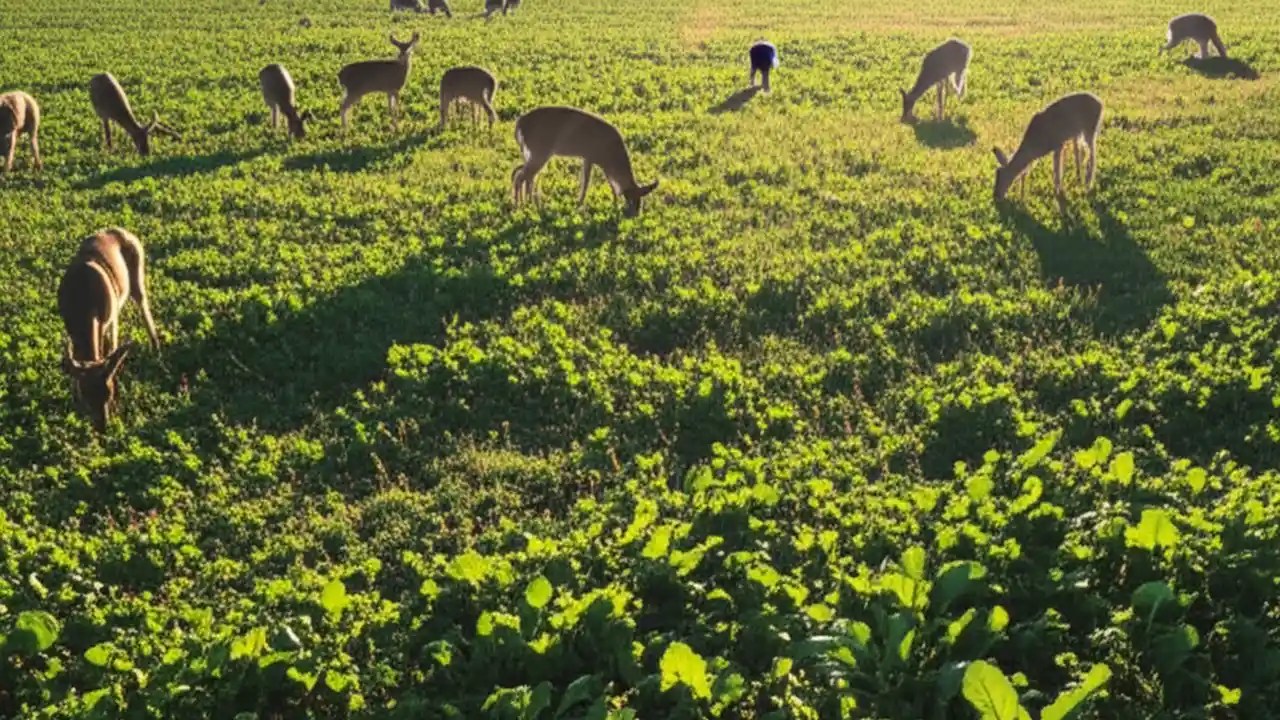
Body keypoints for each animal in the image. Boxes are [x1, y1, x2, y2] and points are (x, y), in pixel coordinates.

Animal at [57, 228, 161, 433]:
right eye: (86, 397)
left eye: (110, 393)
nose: (102, 426)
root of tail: (124, 231)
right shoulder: (68, 324)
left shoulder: (109, 317)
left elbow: (110, 350)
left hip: (136, 273)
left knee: (142, 302)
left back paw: (155, 347)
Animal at [512, 106, 659, 218]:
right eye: (633, 199)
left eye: (641, 201)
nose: (636, 215)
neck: (612, 155)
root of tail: (520, 124)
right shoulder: (594, 157)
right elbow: (590, 182)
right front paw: (580, 204)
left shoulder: (590, 158)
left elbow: (607, 183)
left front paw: (613, 203)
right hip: (540, 151)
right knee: (521, 176)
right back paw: (519, 206)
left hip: (534, 153)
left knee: (526, 176)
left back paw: (529, 204)